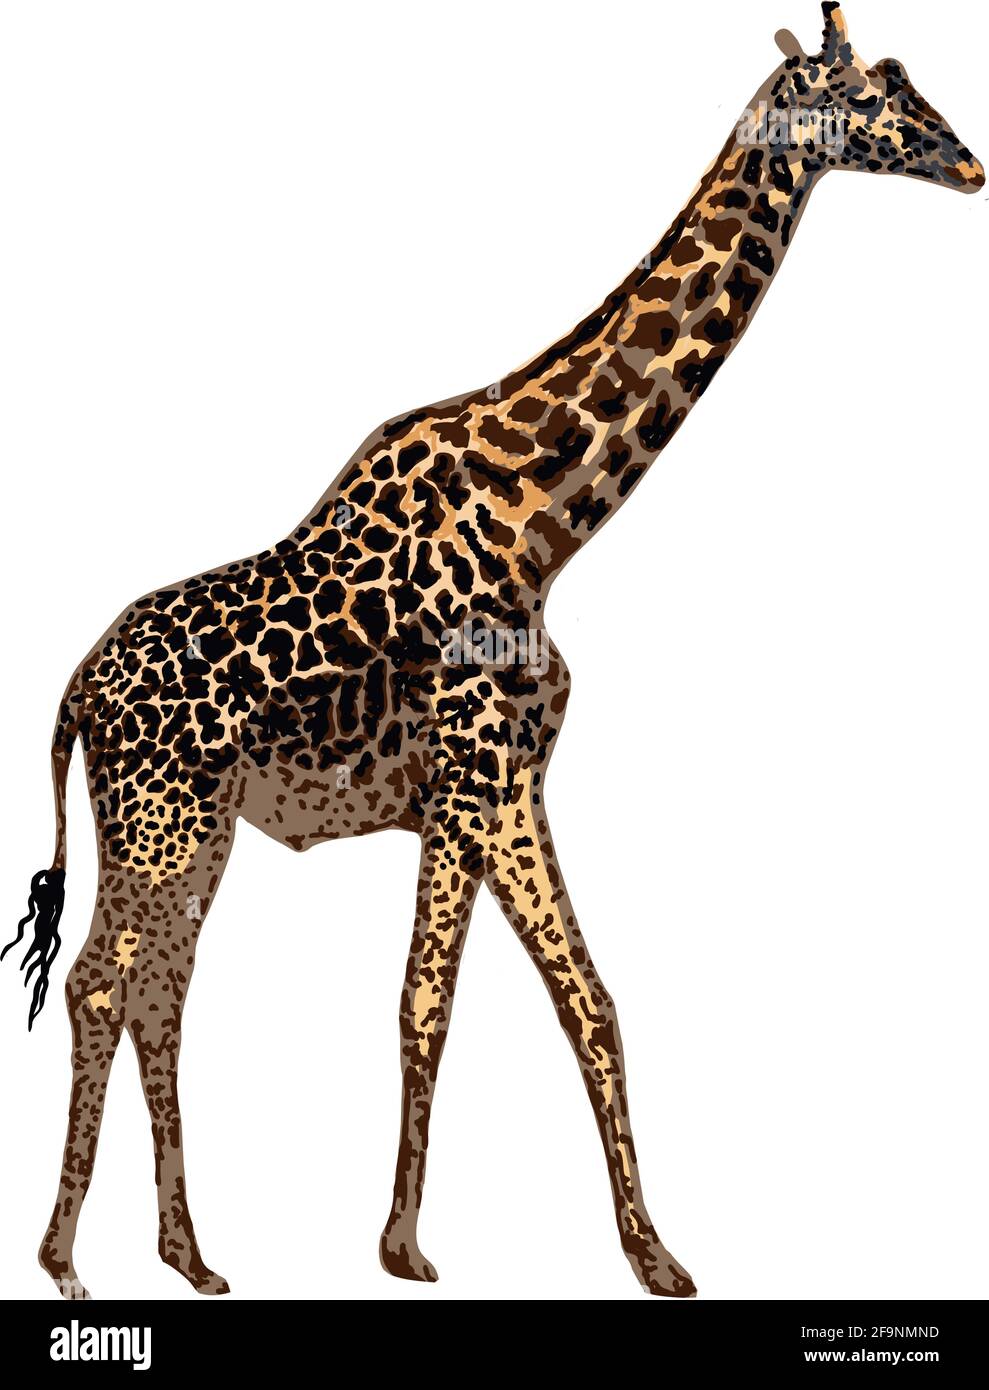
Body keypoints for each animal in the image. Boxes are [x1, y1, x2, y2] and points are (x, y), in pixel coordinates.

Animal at [4, 4, 982, 1300]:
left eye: (907, 78)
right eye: (869, 95)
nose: (968, 165)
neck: (547, 523)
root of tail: (72, 692)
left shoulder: (499, 784)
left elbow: (555, 1001)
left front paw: (630, 1254)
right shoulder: (472, 773)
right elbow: (461, 1000)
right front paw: (427, 1246)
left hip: (194, 828)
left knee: (157, 988)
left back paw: (191, 1254)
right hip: (160, 820)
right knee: (101, 981)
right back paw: (67, 1259)